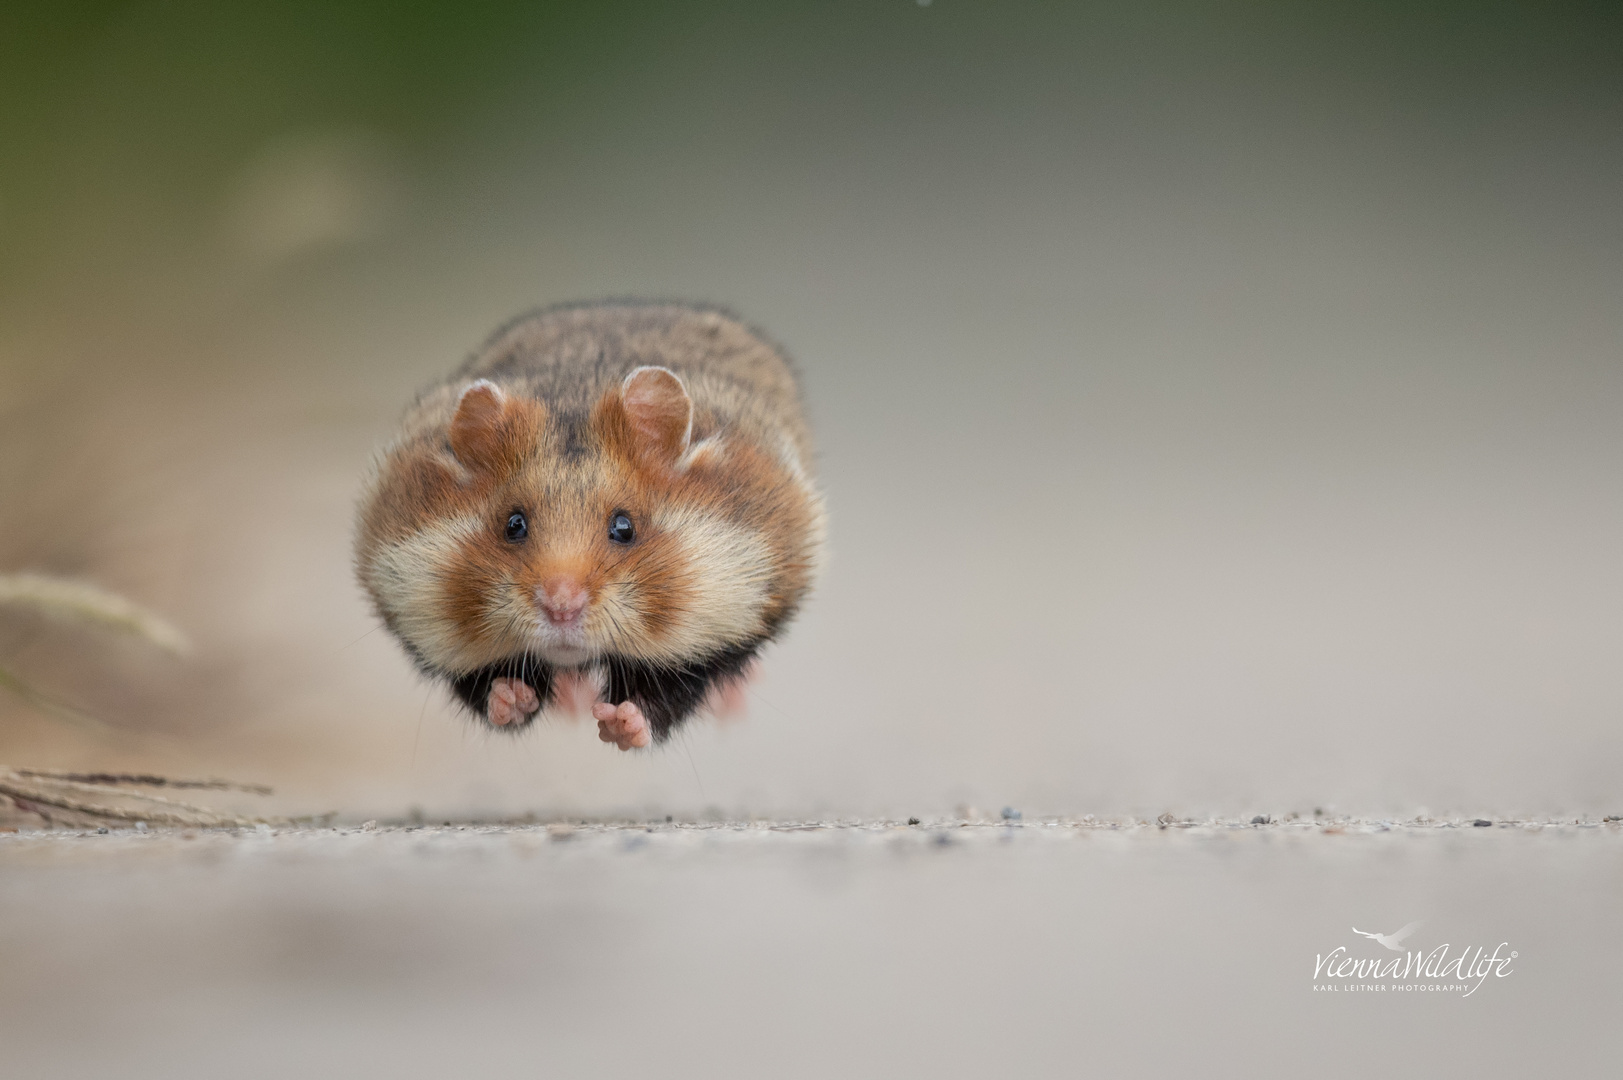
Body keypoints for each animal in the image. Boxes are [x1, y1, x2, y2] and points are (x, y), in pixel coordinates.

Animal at [354, 302, 825, 750]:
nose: (561, 609)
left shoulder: (730, 615)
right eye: (513, 524)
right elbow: (484, 687)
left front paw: (619, 723)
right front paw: (512, 698)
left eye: (624, 527)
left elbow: (673, 686)